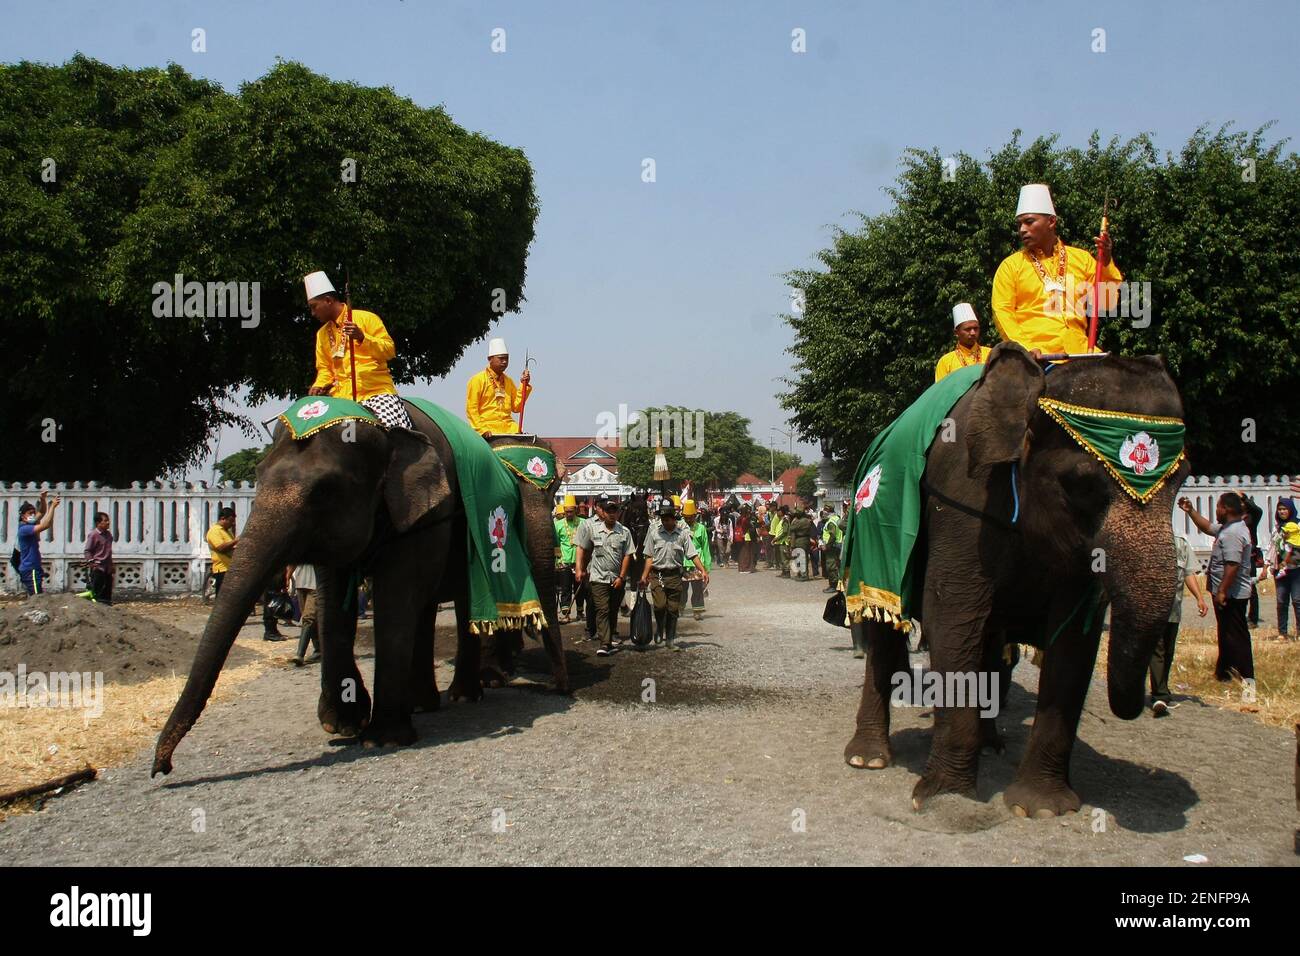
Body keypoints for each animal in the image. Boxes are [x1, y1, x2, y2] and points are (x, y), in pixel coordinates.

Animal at [152, 399, 567, 775]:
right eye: (257, 475)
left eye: (324, 491)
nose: (162, 767)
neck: (380, 426)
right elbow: (337, 605)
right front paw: (343, 725)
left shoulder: (429, 514)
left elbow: (395, 599)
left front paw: (381, 739)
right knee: (429, 607)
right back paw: (428, 702)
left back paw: (462, 696)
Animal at [843, 343, 1188, 817]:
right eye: (1081, 484)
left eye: (1183, 479)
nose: (1150, 708)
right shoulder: (965, 499)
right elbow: (951, 618)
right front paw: (947, 800)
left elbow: (1074, 640)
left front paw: (1042, 807)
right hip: (874, 540)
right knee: (884, 626)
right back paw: (868, 758)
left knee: (989, 640)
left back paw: (992, 745)